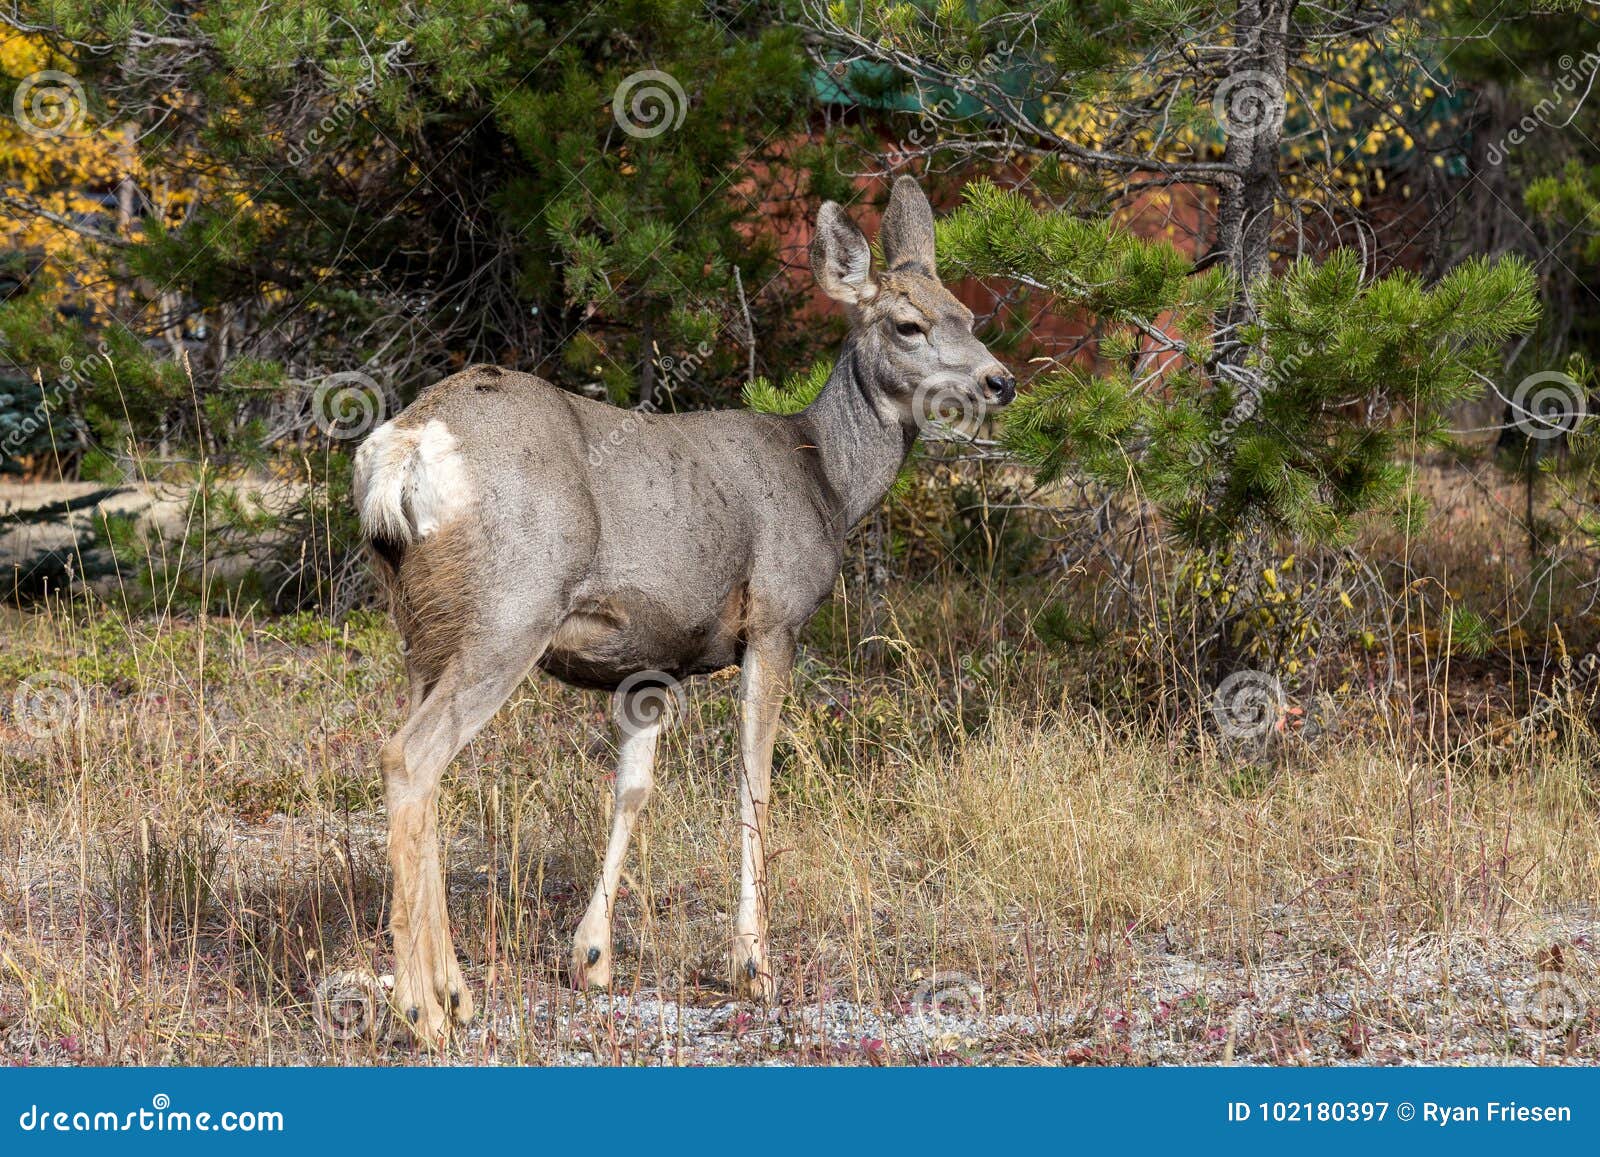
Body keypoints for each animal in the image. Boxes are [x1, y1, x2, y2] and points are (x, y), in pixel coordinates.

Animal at [351, 176, 1015, 1044]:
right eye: (908, 323)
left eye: (967, 313)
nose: (1001, 380)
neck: (828, 483)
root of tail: (404, 449)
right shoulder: (773, 618)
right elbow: (753, 782)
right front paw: (753, 964)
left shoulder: (651, 661)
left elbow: (631, 790)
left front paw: (592, 958)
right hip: (510, 609)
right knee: (410, 756)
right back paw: (423, 1010)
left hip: (421, 626)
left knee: (423, 771)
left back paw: (454, 990)